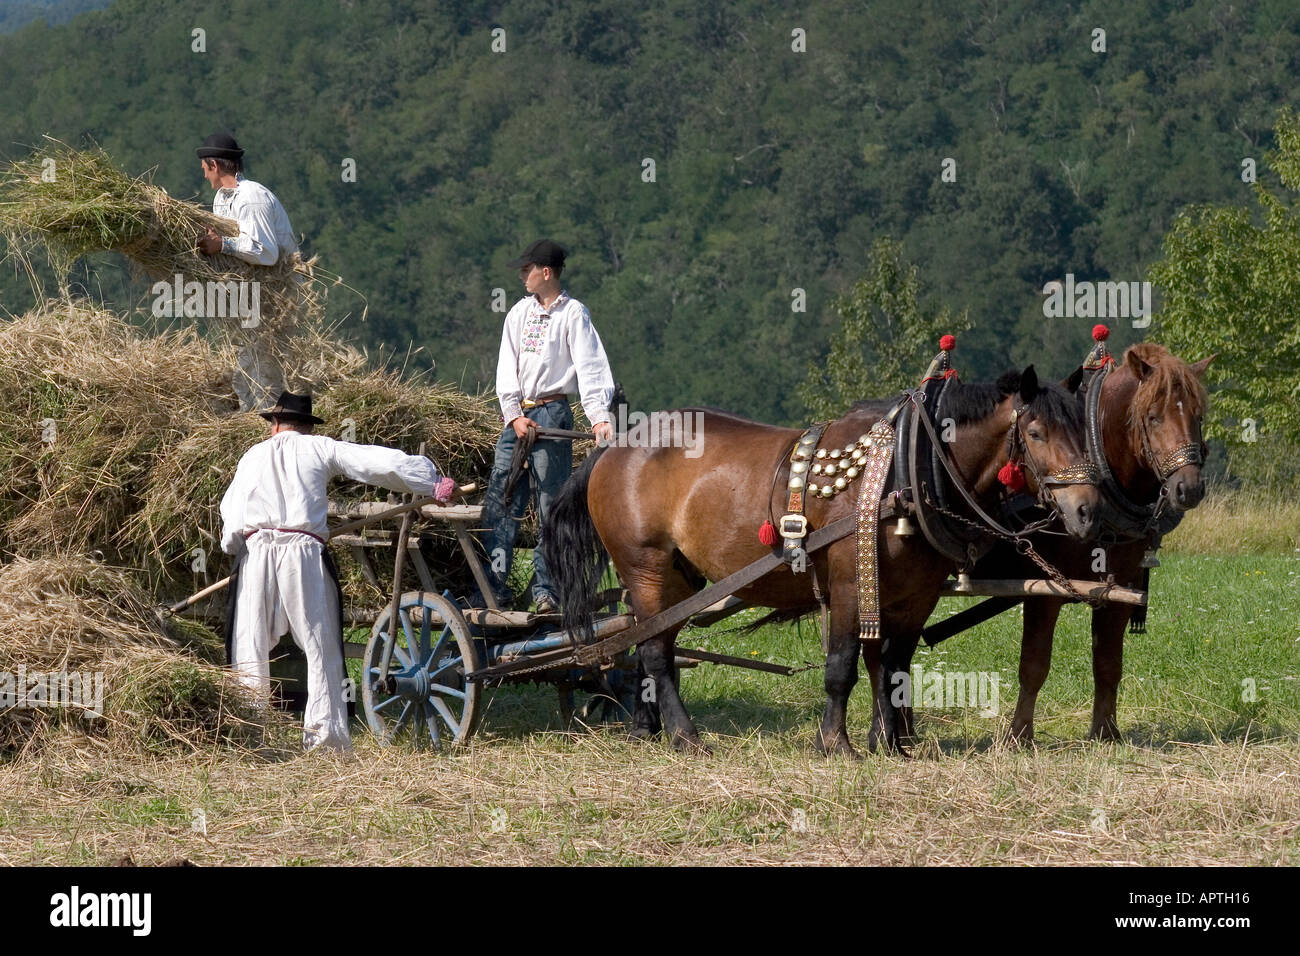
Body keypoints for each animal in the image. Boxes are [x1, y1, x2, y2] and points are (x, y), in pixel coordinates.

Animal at [544, 366, 1101, 754]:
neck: (905, 469)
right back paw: (685, 736)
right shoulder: (851, 586)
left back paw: (645, 729)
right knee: (657, 653)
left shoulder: (913, 595)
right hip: (646, 566)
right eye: (1036, 434)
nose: (1086, 510)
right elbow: (842, 667)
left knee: (645, 641)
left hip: (676, 577)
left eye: (1082, 430)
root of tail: (615, 445)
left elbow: (891, 667)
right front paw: (835, 742)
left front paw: (891, 743)